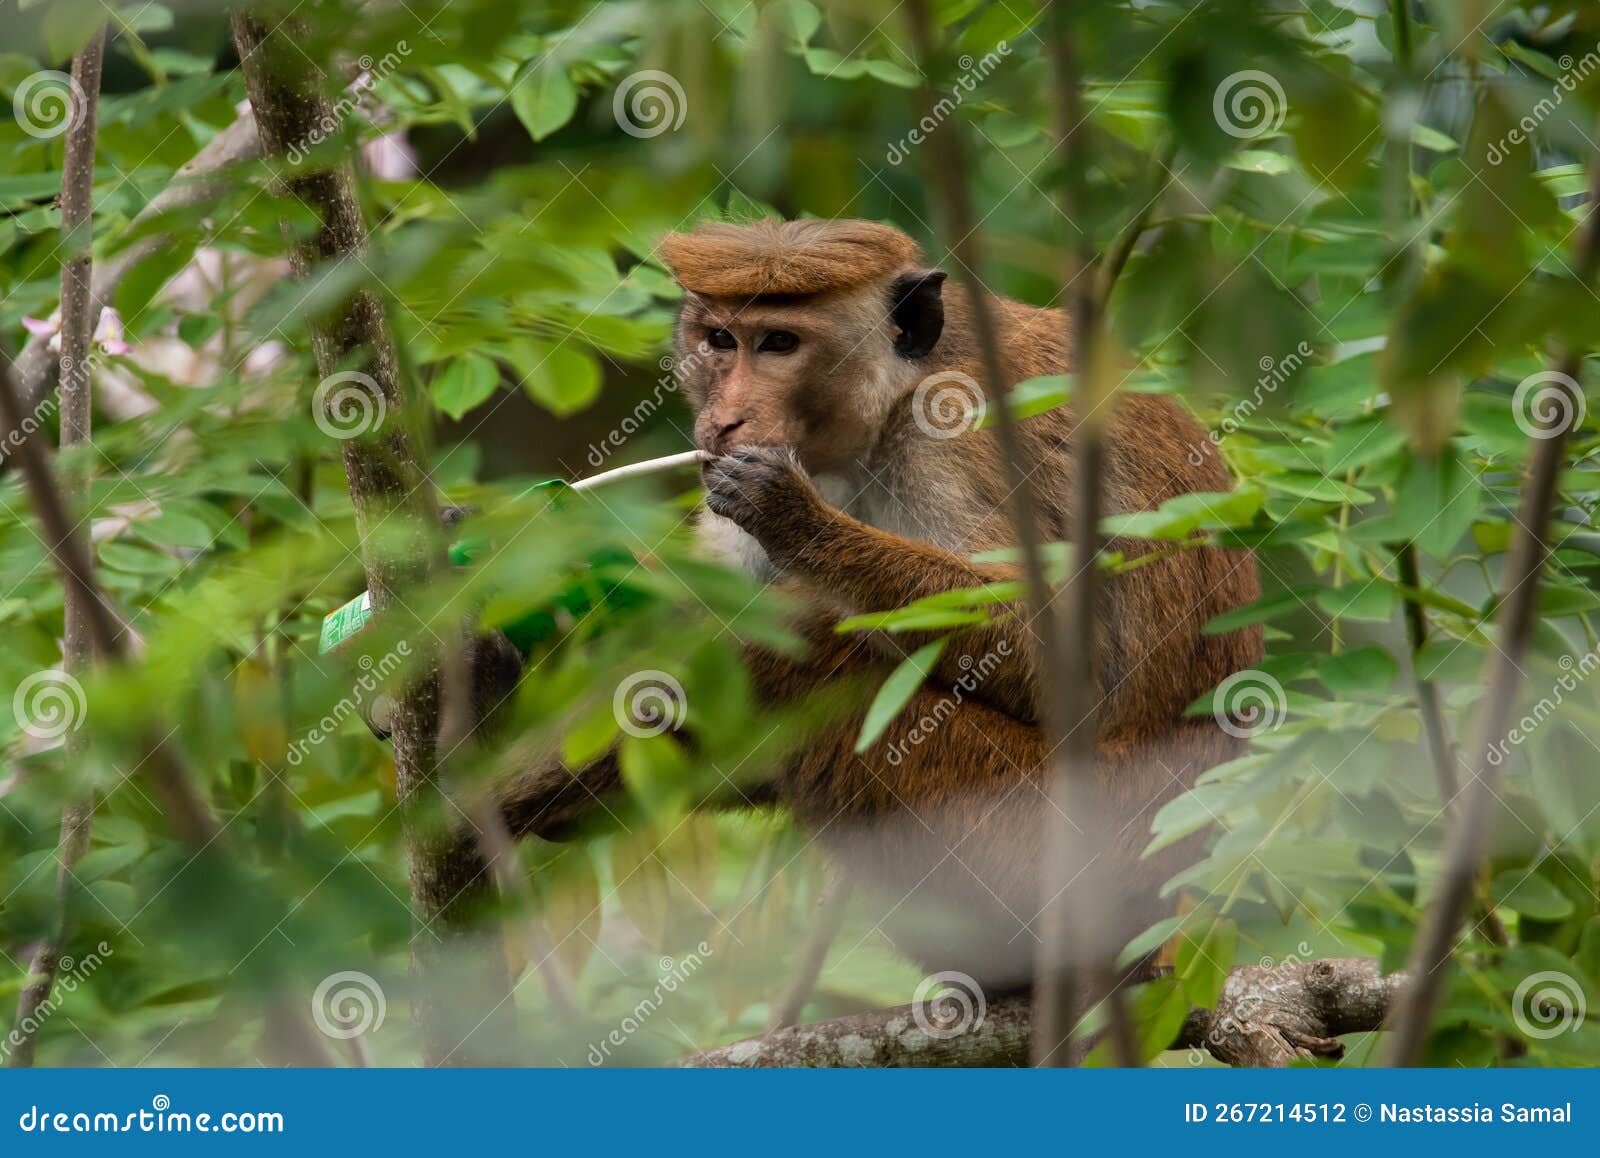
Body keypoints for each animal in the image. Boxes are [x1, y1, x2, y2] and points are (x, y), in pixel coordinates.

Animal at [471, 217, 1262, 994]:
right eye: (721, 340)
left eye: (779, 343)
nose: (725, 422)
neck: (897, 390)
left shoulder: (950, 443)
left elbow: (1071, 665)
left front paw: (796, 519)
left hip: (1050, 850)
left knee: (810, 658)